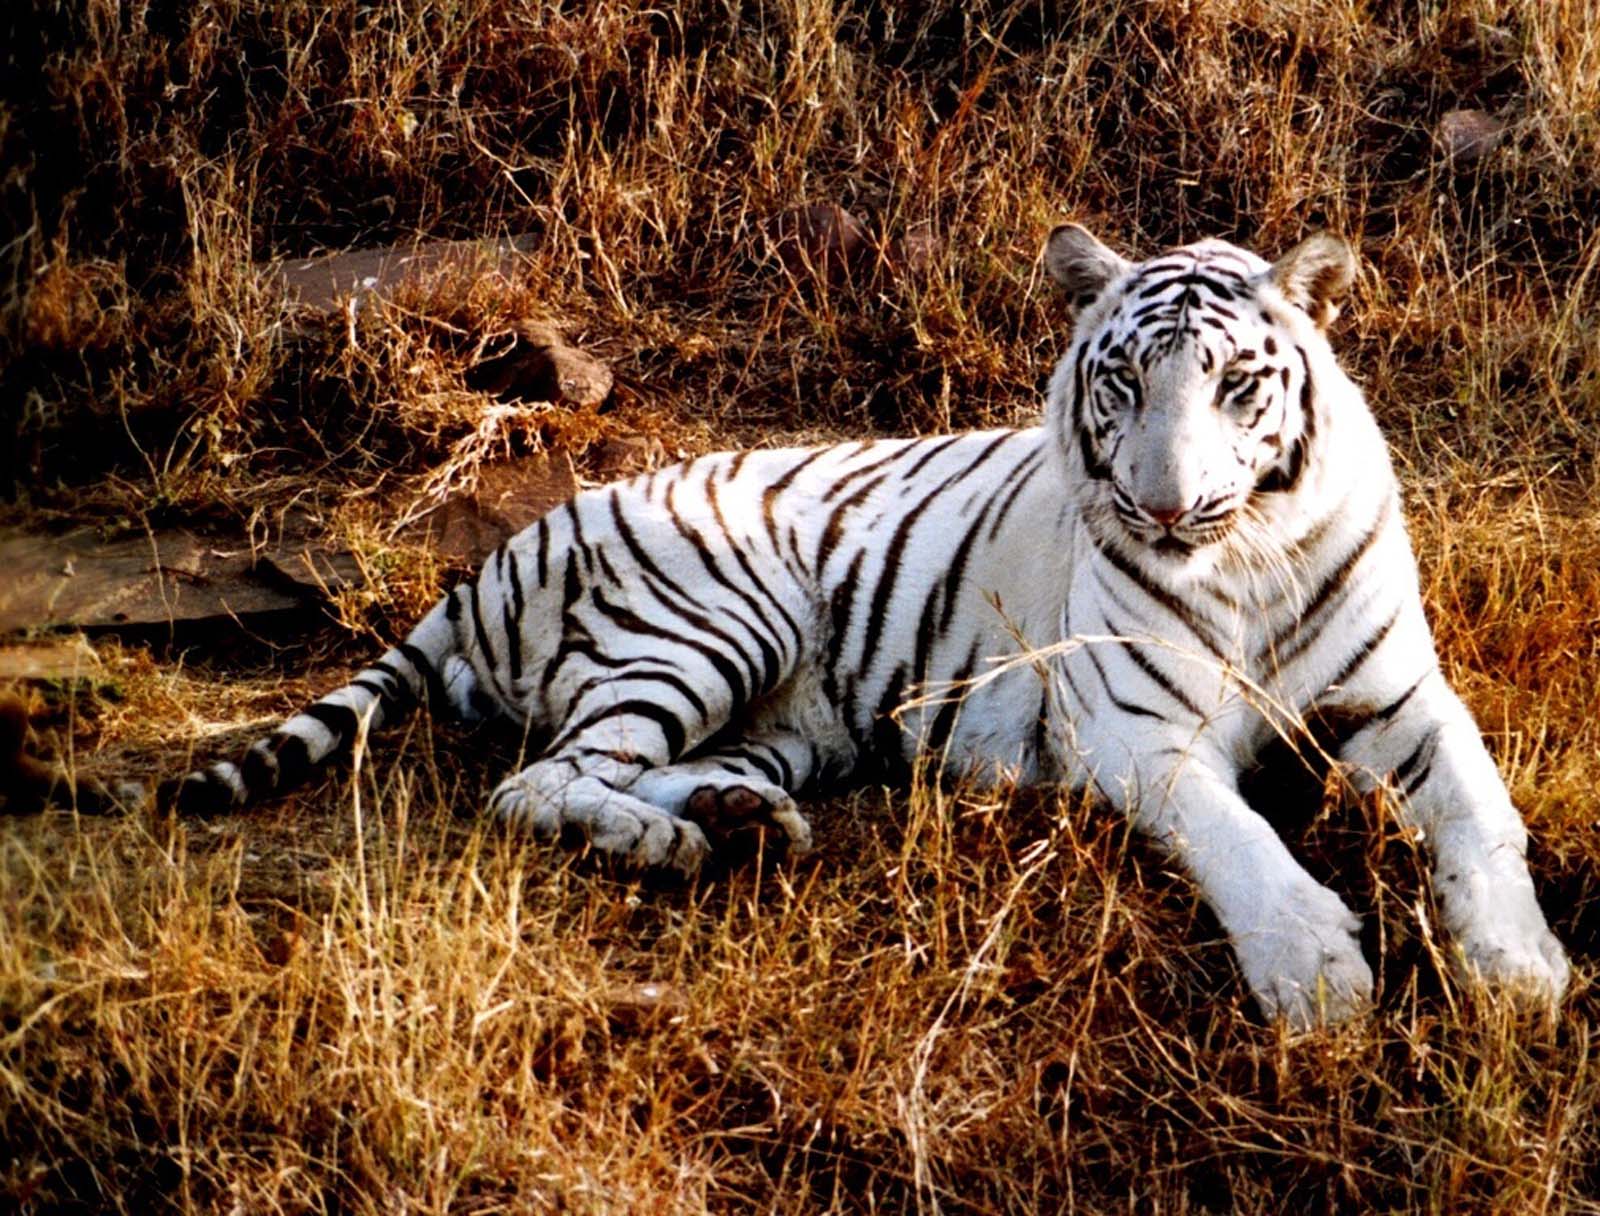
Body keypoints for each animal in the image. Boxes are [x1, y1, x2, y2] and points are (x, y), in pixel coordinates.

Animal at [168, 224, 1568, 1024]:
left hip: (791, 720)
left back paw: (737, 820)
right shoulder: (1133, 731)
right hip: (707, 621)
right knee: (540, 781)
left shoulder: (1401, 695)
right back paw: (669, 844)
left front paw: (1522, 971)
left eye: (1235, 385)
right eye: (1121, 381)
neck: (1250, 559)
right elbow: (1239, 840)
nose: (1162, 505)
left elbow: (1481, 811)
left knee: (639, 766)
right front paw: (1316, 973)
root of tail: (500, 550)